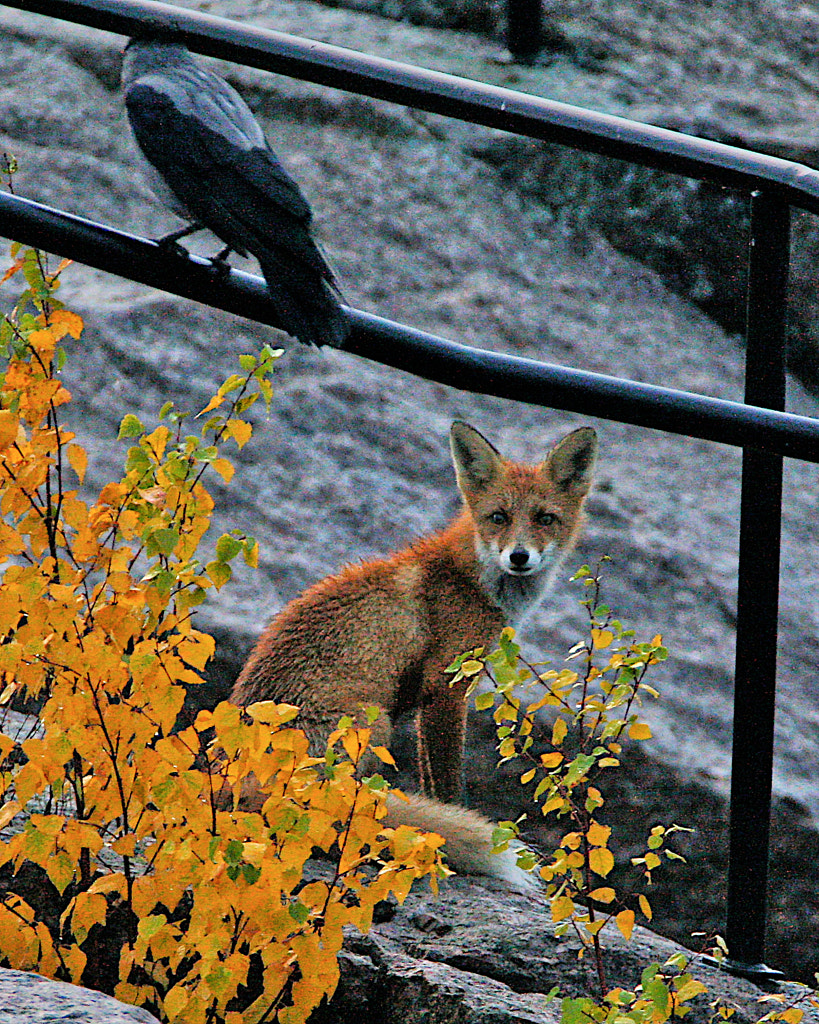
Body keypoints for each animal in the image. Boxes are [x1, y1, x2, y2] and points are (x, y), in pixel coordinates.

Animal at [230, 421, 593, 888]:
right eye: (499, 517)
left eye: (545, 519)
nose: (518, 556)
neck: (469, 579)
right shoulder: (447, 685)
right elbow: (447, 784)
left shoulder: (426, 698)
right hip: (373, 724)